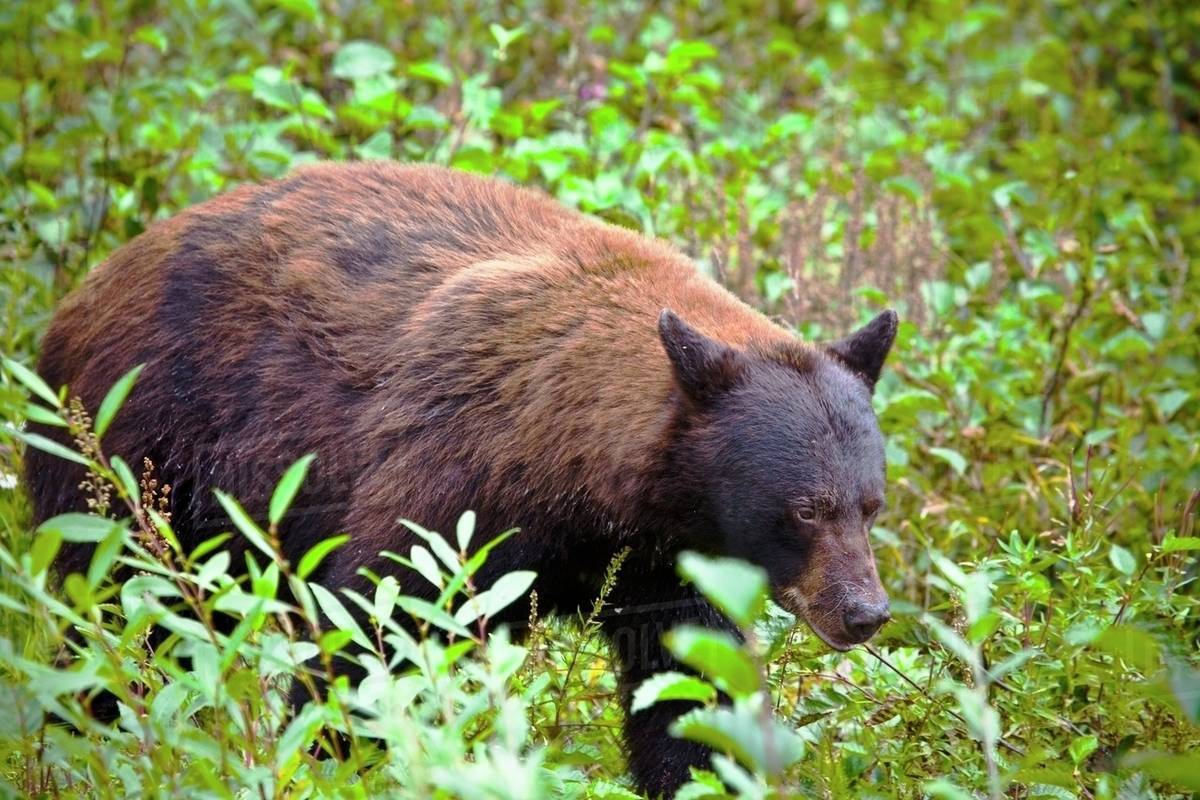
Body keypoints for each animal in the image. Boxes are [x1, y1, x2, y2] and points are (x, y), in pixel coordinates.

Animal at [26, 162, 895, 796]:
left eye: (871, 506)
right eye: (805, 509)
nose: (865, 612)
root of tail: (77, 297)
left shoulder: (665, 564)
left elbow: (688, 691)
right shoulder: (454, 478)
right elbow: (375, 626)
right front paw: (332, 761)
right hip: (139, 456)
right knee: (117, 614)